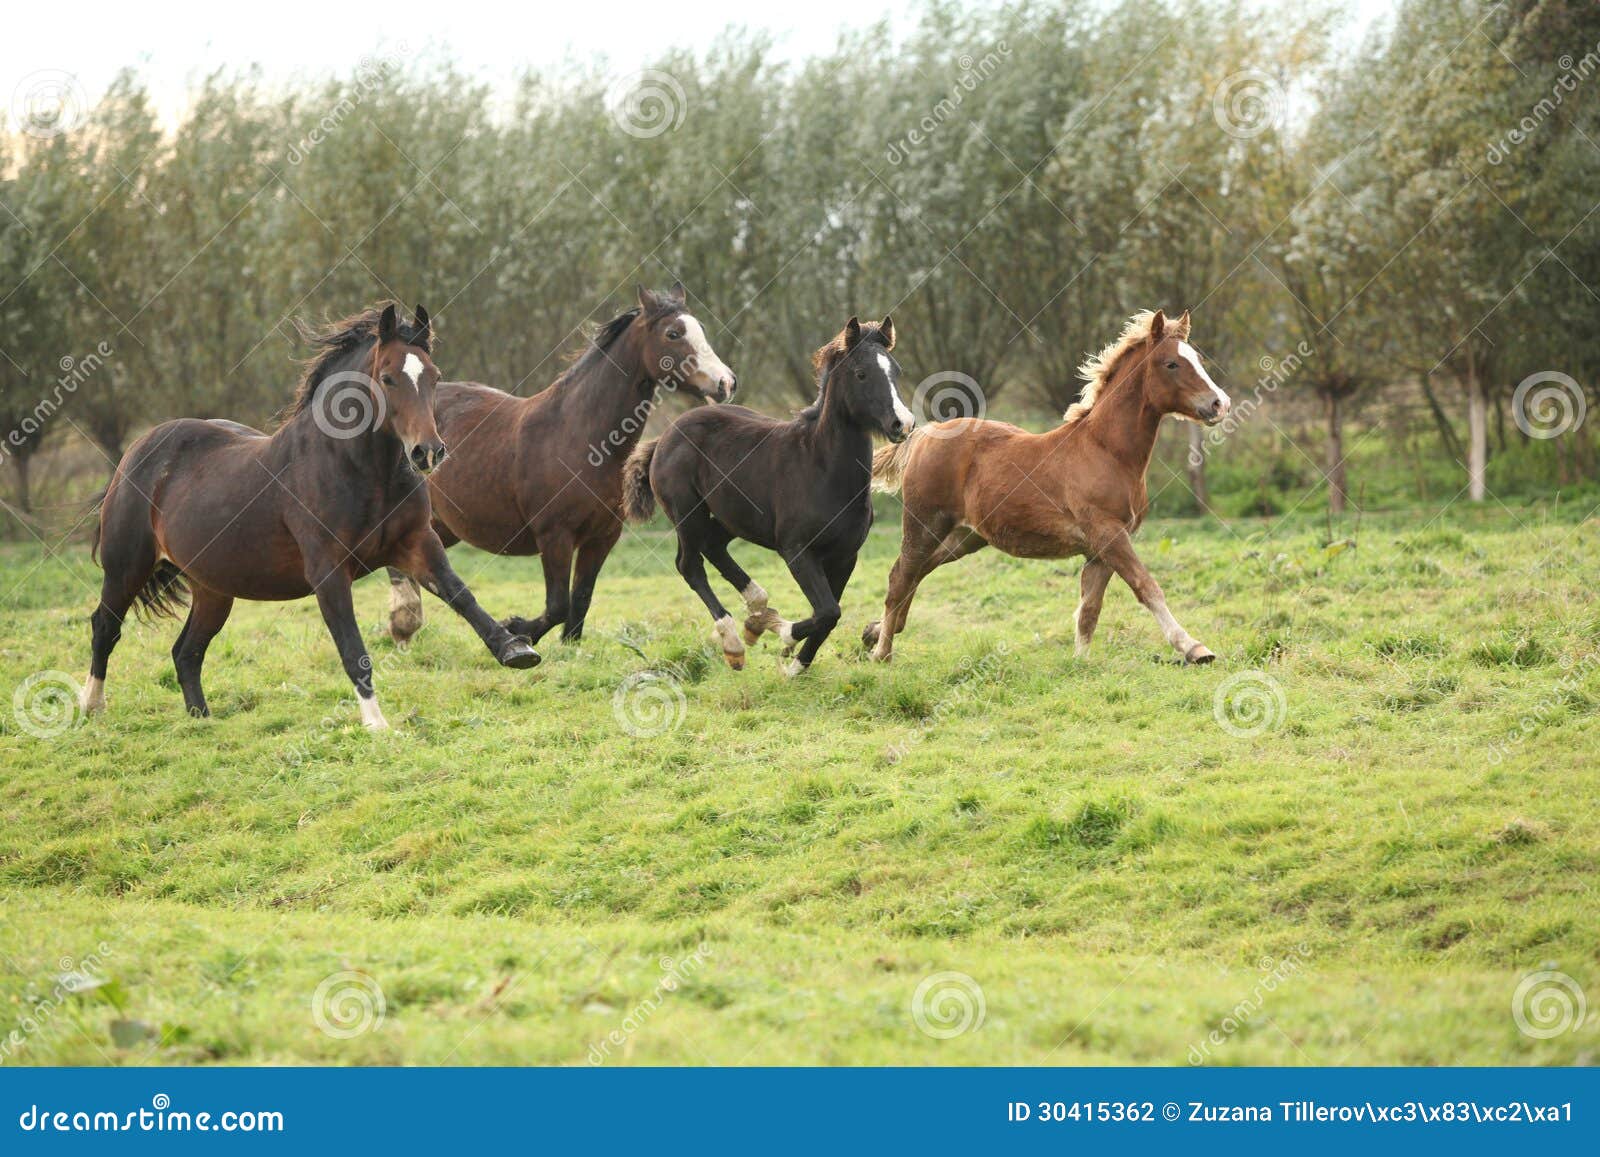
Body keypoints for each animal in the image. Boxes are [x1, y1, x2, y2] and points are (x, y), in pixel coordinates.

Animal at [83, 303, 539, 731]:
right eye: (388, 378)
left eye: (434, 376)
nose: (428, 453)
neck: (360, 471)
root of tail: (138, 450)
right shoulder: (328, 570)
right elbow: (352, 646)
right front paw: (376, 723)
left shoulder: (416, 543)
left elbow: (460, 593)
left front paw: (516, 649)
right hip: (127, 567)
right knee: (105, 626)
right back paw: (91, 708)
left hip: (213, 587)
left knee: (186, 652)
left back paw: (201, 721)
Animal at [384, 282, 735, 648]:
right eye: (673, 333)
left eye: (700, 329)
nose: (726, 382)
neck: (581, 437)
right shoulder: (555, 536)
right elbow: (557, 606)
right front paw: (516, 629)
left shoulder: (602, 538)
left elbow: (580, 600)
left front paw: (569, 648)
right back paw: (402, 623)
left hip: (445, 526)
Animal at [622, 315, 914, 674]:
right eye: (861, 373)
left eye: (896, 370)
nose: (903, 423)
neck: (820, 468)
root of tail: (665, 437)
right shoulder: (796, 550)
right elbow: (828, 612)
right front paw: (781, 639)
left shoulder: (846, 555)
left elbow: (829, 613)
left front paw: (794, 663)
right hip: (687, 515)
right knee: (689, 565)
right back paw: (735, 641)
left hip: (731, 517)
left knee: (713, 547)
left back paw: (757, 608)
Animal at [864, 308, 1230, 664]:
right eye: (1171, 363)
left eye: (1197, 358)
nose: (1220, 404)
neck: (1106, 451)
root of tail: (924, 435)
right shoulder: (1109, 534)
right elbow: (1146, 586)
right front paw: (1195, 648)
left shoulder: (1100, 550)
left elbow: (1089, 610)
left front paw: (1080, 662)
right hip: (925, 524)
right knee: (900, 576)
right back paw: (882, 652)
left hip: (964, 537)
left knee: (917, 572)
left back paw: (875, 632)